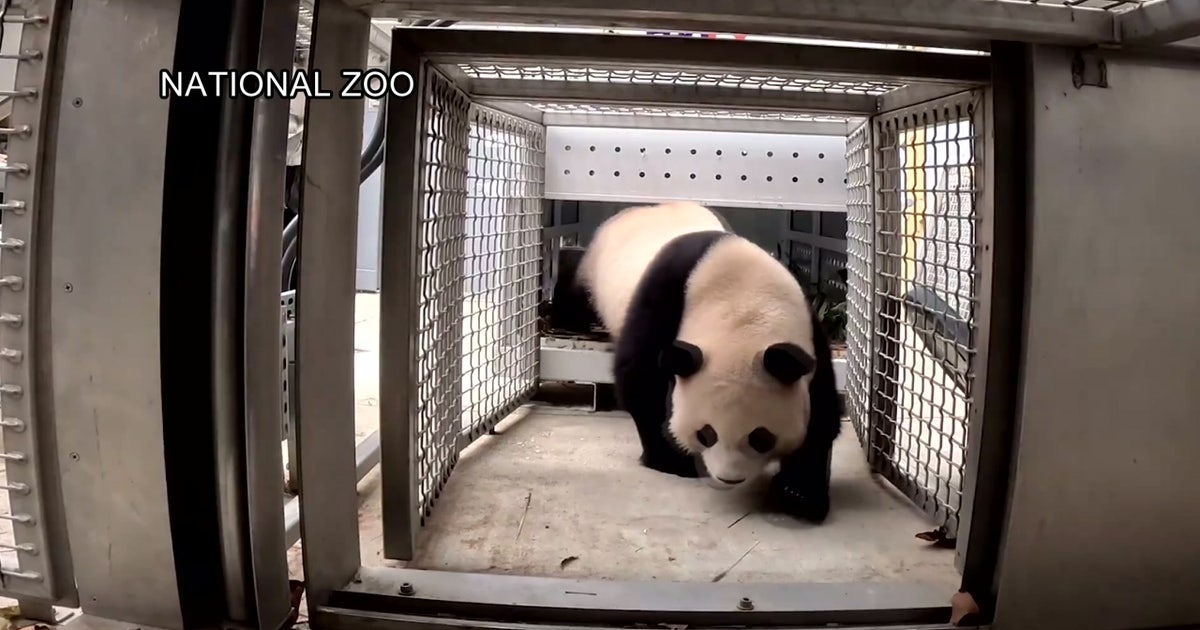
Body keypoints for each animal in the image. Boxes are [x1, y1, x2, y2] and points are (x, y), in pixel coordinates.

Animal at [573, 201, 842, 523]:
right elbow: (642, 379)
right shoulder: (664, 299)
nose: (729, 478)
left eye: (761, 437)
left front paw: (799, 493)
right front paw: (672, 459)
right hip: (591, 273)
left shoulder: (809, 336)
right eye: (706, 434)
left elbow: (822, 412)